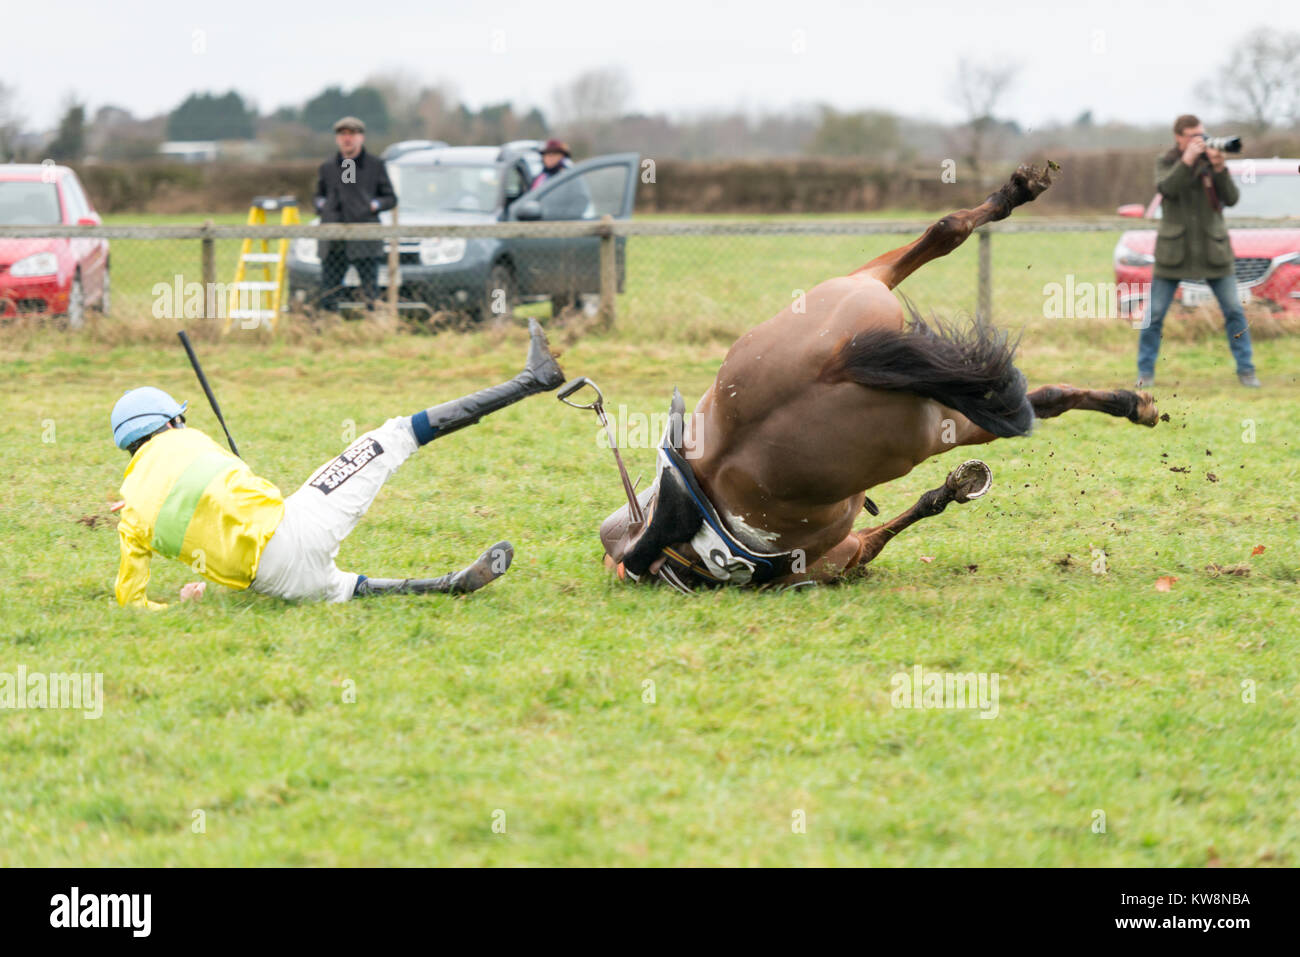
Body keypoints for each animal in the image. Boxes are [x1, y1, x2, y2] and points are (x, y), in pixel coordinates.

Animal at [595, 164, 1160, 591]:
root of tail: (829, 369)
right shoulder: (849, 545)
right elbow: (899, 524)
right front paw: (955, 488)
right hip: (919, 398)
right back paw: (1130, 402)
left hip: (862, 309)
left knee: (943, 234)